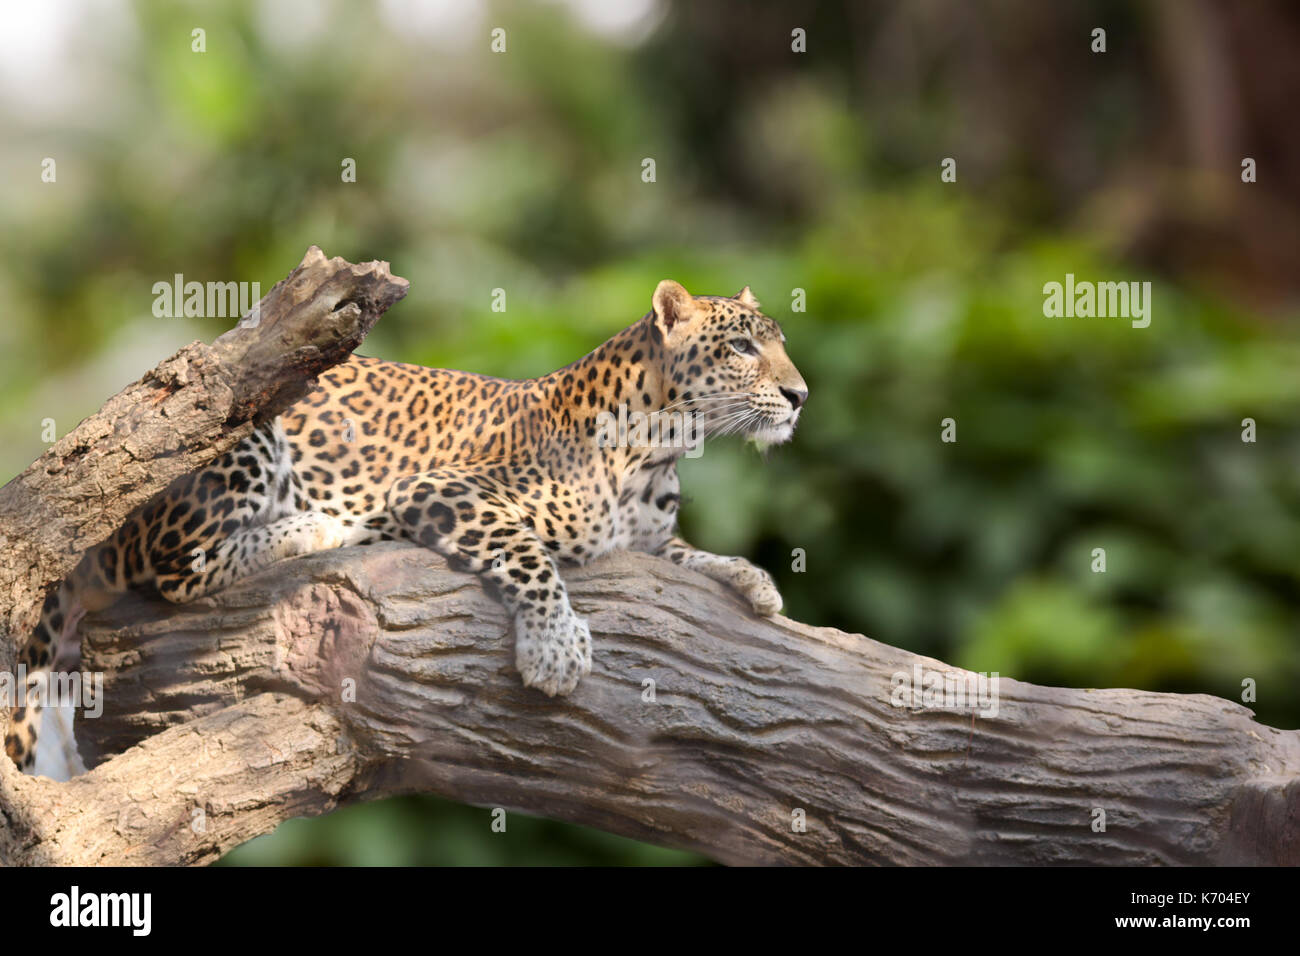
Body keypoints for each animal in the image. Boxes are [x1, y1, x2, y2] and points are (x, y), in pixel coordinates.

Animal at [5, 279, 808, 773]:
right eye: (742, 347)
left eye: (778, 343)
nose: (801, 395)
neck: (658, 451)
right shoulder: (442, 489)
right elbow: (528, 554)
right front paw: (555, 647)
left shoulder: (652, 541)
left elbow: (691, 555)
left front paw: (757, 582)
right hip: (244, 437)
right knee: (179, 570)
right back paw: (313, 529)